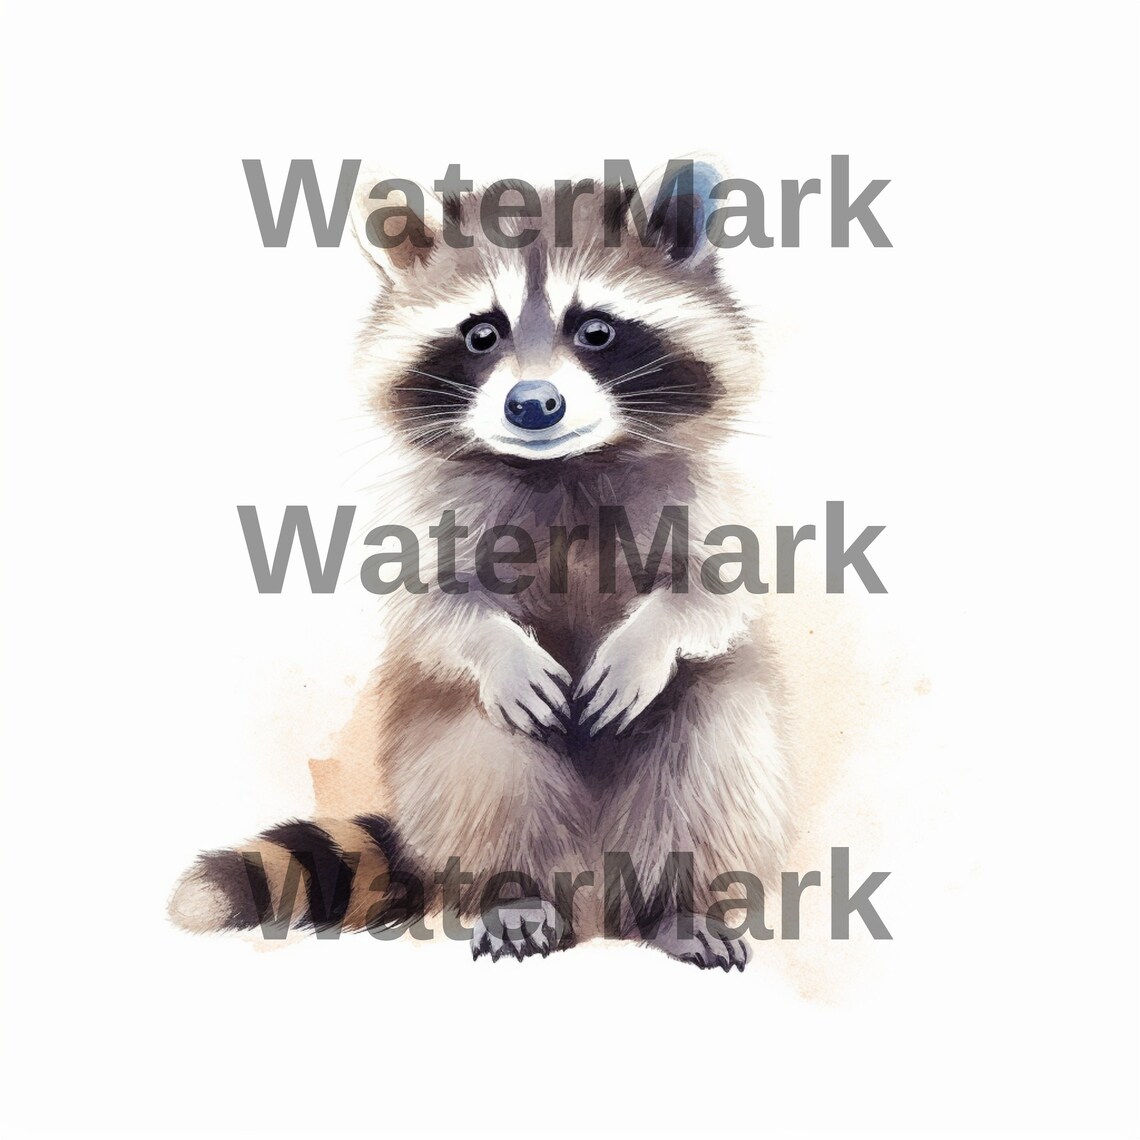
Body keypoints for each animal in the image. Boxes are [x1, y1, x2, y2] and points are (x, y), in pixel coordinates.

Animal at [169, 163, 793, 971]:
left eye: (595, 330)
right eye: (481, 333)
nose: (534, 404)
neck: (561, 467)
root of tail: (597, 887)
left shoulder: (703, 493)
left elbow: (719, 589)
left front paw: (649, 636)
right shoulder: (431, 512)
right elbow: (429, 603)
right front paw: (492, 642)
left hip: (717, 742)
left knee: (715, 749)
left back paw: (679, 904)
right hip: (438, 745)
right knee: (481, 761)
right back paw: (515, 891)